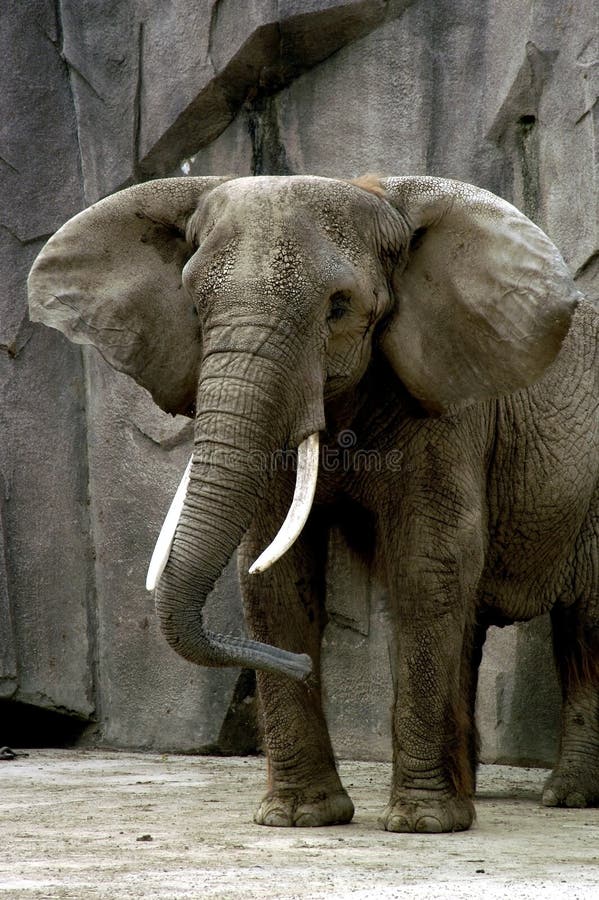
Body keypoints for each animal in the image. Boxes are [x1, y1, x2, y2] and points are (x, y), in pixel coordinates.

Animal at [27, 173, 599, 833]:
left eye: (339, 308)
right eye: (194, 308)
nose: (294, 664)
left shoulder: (448, 402)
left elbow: (429, 562)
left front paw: (421, 824)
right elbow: (275, 574)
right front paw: (300, 816)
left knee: (585, 625)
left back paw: (567, 797)